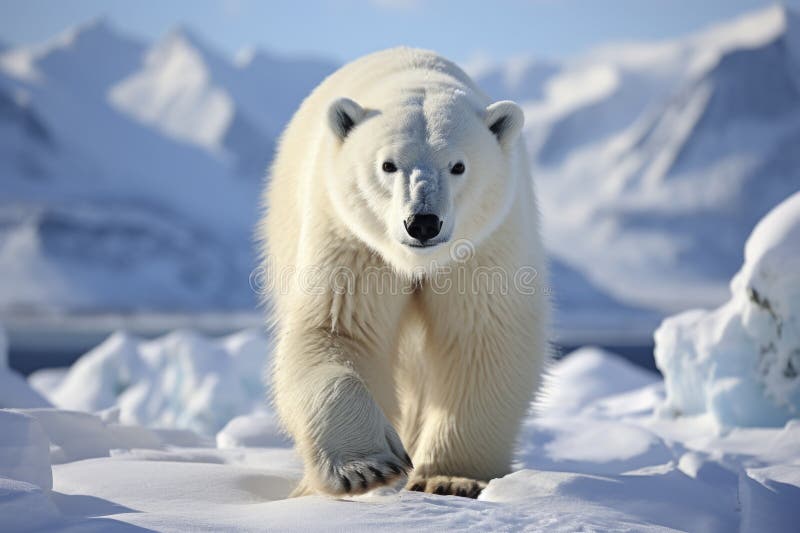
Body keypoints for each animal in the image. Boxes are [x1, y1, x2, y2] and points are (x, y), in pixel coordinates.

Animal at [258, 47, 549, 498]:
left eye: (458, 166)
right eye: (388, 165)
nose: (423, 223)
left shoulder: (481, 247)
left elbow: (482, 341)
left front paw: (451, 477)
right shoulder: (352, 242)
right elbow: (337, 330)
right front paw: (366, 468)